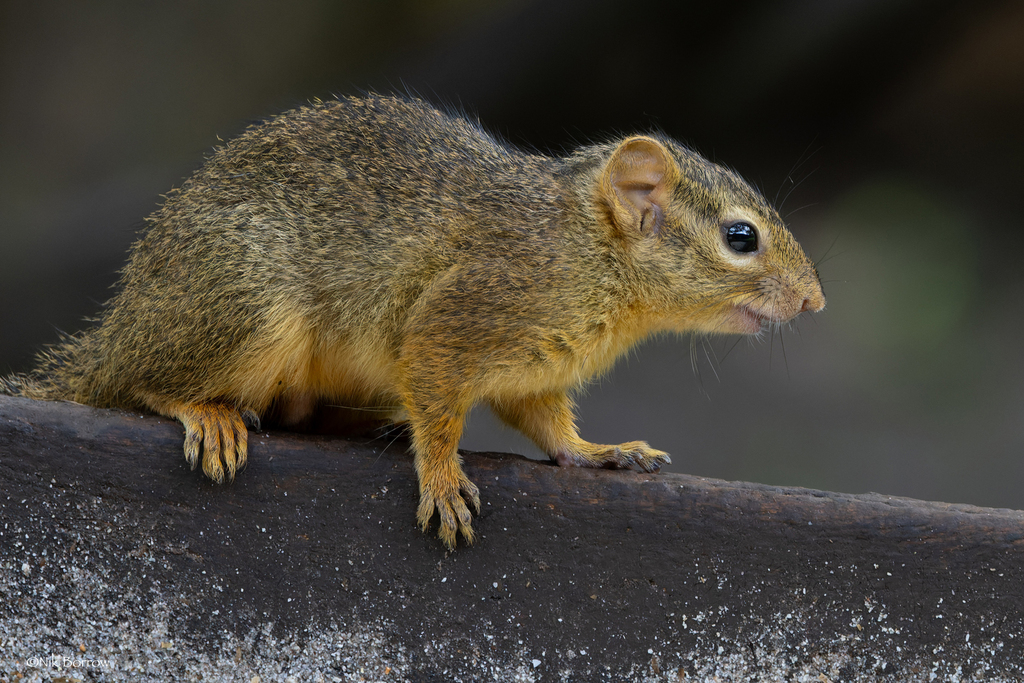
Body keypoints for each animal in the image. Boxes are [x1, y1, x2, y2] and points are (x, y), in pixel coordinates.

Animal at [2, 94, 825, 549]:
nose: (815, 302)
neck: (588, 255)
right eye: (741, 237)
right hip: (247, 305)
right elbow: (437, 399)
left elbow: (549, 428)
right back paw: (205, 412)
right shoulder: (457, 315)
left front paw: (602, 451)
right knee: (137, 383)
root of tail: (119, 324)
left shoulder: (533, 371)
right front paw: (442, 476)